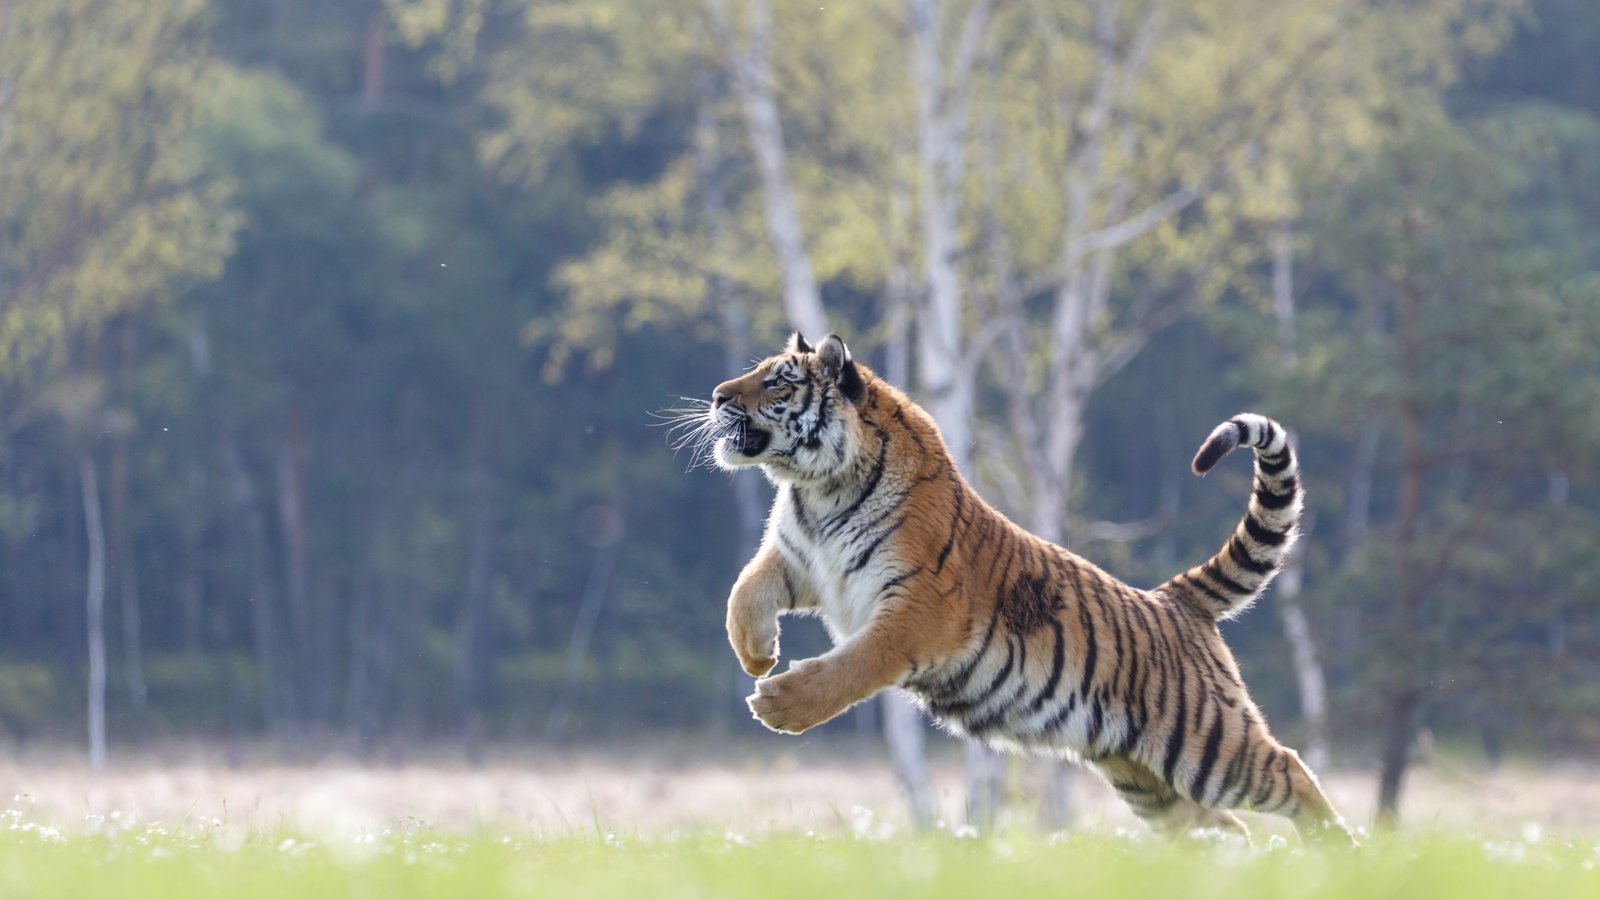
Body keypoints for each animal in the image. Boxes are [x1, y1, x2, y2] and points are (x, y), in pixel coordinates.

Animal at [699, 331, 1352, 843]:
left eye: (778, 384)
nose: (717, 396)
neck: (819, 491)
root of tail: (1174, 598)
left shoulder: (916, 611)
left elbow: (853, 664)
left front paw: (779, 703)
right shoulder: (797, 560)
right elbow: (743, 591)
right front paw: (756, 654)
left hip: (1206, 744)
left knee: (1291, 770)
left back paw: (1341, 852)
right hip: (1145, 779)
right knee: (1225, 827)